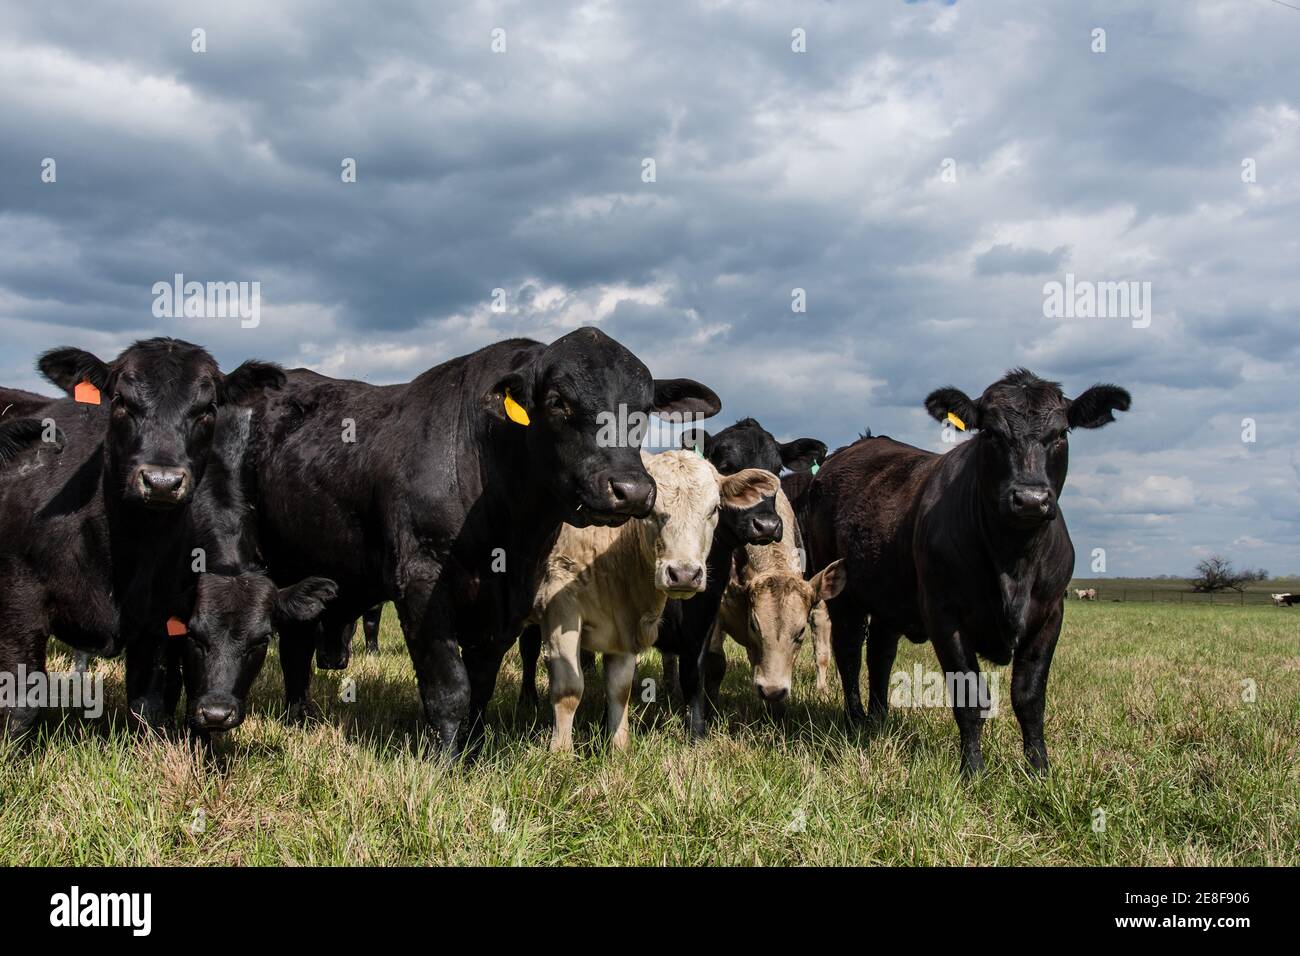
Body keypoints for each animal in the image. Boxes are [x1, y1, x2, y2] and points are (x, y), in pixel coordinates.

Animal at [0, 339, 283, 735]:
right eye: (120, 400)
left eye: (208, 407)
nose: (162, 482)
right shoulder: (19, 600)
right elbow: (22, 703)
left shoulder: (160, 618)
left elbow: (149, 705)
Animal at [248, 328, 721, 759]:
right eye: (558, 402)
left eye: (643, 410)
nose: (631, 490)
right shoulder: (421, 584)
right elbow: (450, 686)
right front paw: (445, 760)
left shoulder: (512, 598)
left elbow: (481, 683)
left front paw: (472, 748)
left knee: (295, 644)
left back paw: (299, 718)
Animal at [530, 450, 778, 750]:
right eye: (649, 510)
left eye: (714, 509)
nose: (684, 574)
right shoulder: (560, 608)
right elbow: (569, 689)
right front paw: (561, 754)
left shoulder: (626, 625)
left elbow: (620, 689)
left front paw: (619, 748)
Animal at [798, 369, 1130, 773]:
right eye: (990, 433)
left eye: (1061, 433)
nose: (1030, 499)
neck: (1013, 560)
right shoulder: (944, 614)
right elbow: (969, 695)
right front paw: (972, 770)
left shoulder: (1050, 614)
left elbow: (1029, 696)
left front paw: (1039, 768)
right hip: (844, 592)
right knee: (848, 651)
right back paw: (857, 718)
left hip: (889, 596)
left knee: (880, 652)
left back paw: (879, 719)